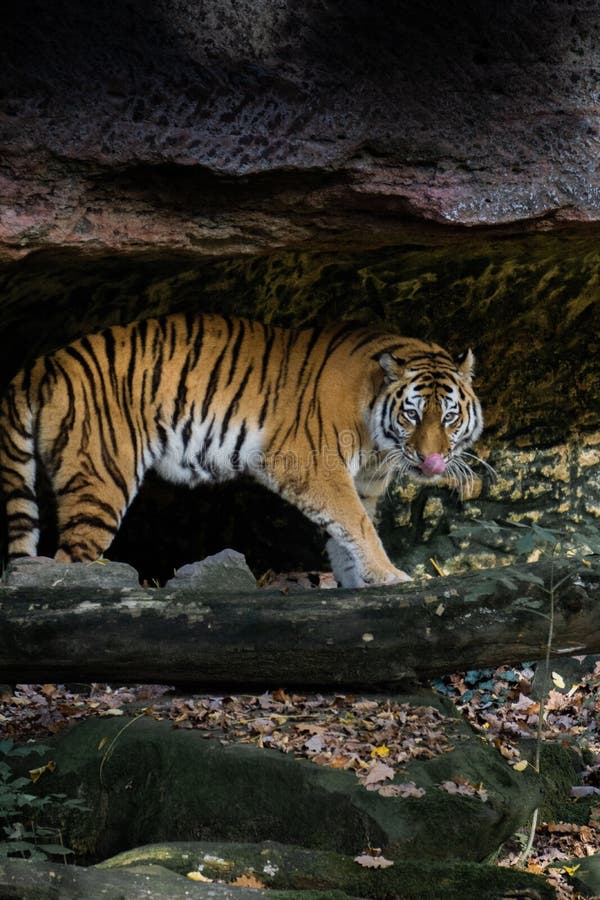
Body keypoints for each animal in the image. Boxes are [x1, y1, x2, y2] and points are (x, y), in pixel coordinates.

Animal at [0, 313, 483, 588]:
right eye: (413, 414)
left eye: (449, 416)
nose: (431, 460)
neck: (379, 441)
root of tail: (44, 362)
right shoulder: (312, 463)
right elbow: (358, 526)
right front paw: (390, 576)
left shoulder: (361, 483)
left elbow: (345, 534)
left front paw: (357, 585)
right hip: (100, 480)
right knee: (67, 563)